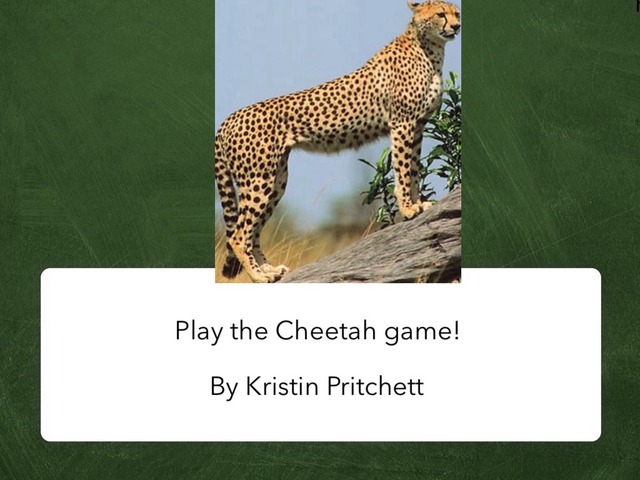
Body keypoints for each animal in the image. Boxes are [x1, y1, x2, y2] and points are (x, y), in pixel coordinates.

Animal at [215, 0, 461, 283]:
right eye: (441, 14)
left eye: (457, 13)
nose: (457, 26)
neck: (430, 48)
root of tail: (228, 119)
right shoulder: (402, 124)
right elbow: (403, 169)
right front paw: (409, 208)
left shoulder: (418, 125)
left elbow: (414, 170)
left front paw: (420, 203)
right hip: (258, 180)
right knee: (238, 235)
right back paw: (258, 275)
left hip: (275, 179)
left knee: (253, 232)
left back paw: (270, 270)